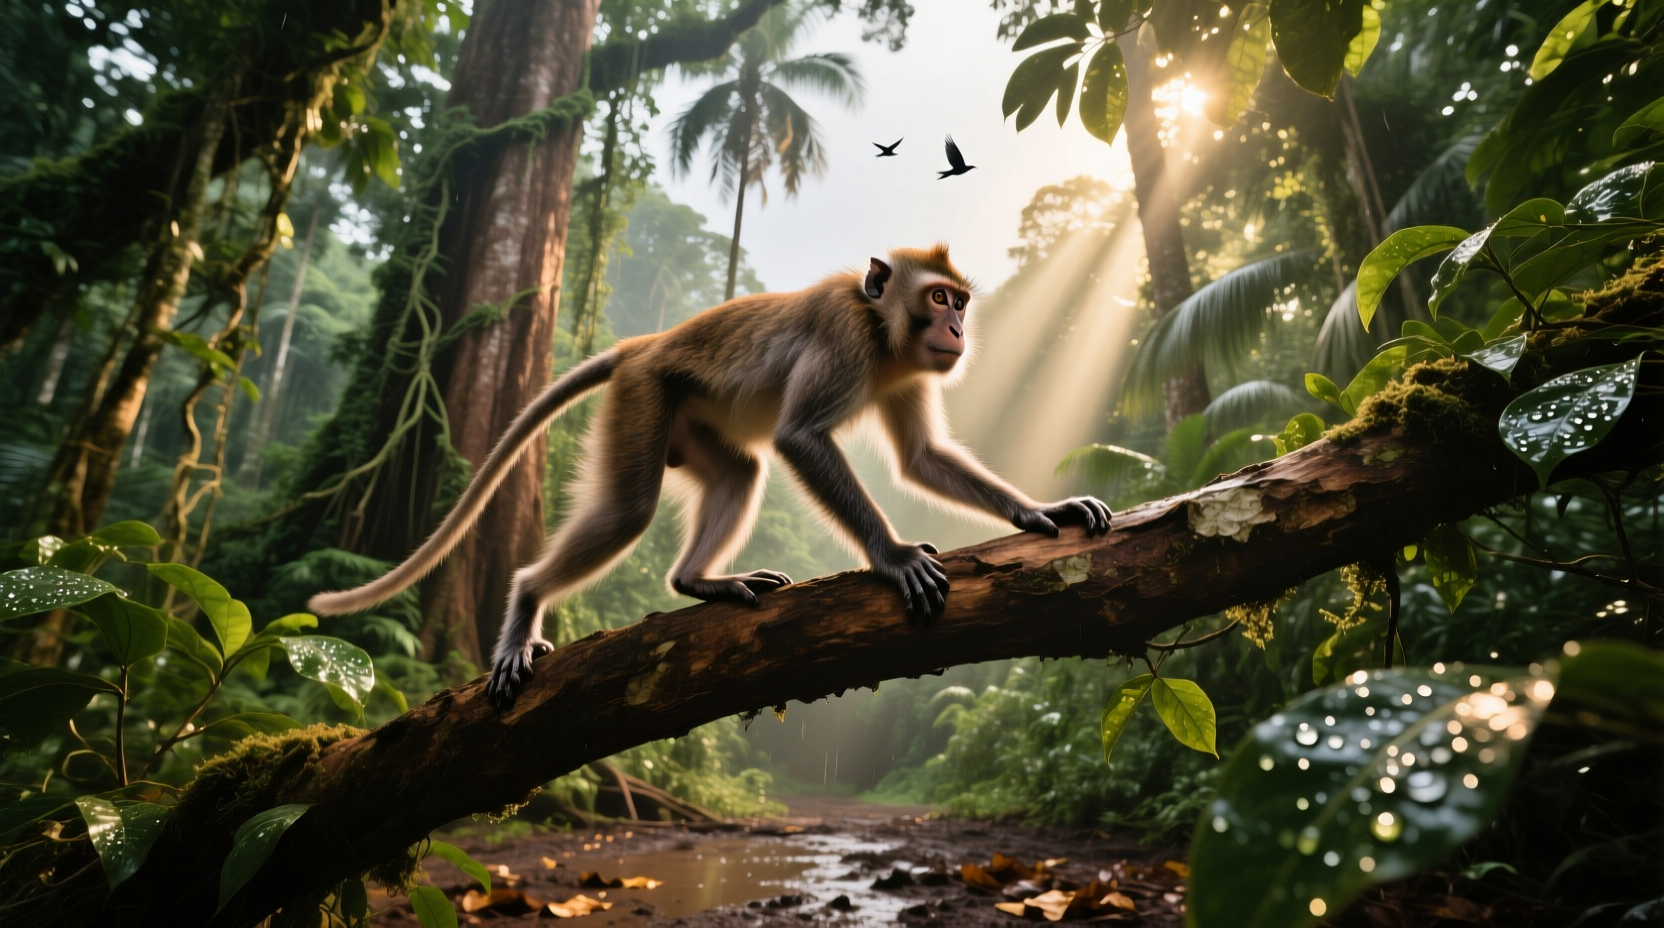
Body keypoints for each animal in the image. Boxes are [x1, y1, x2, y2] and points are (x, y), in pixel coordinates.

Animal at [308, 245, 1112, 710]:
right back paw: (528, 602)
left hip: (687, 422)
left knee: (741, 468)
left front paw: (1044, 512)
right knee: (630, 509)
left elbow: (922, 460)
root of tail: (642, 343)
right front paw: (893, 559)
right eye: (939, 298)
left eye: (961, 301)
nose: (958, 331)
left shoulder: (909, 371)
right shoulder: (844, 339)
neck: (882, 331)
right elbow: (800, 437)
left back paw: (699, 581)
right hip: (643, 398)